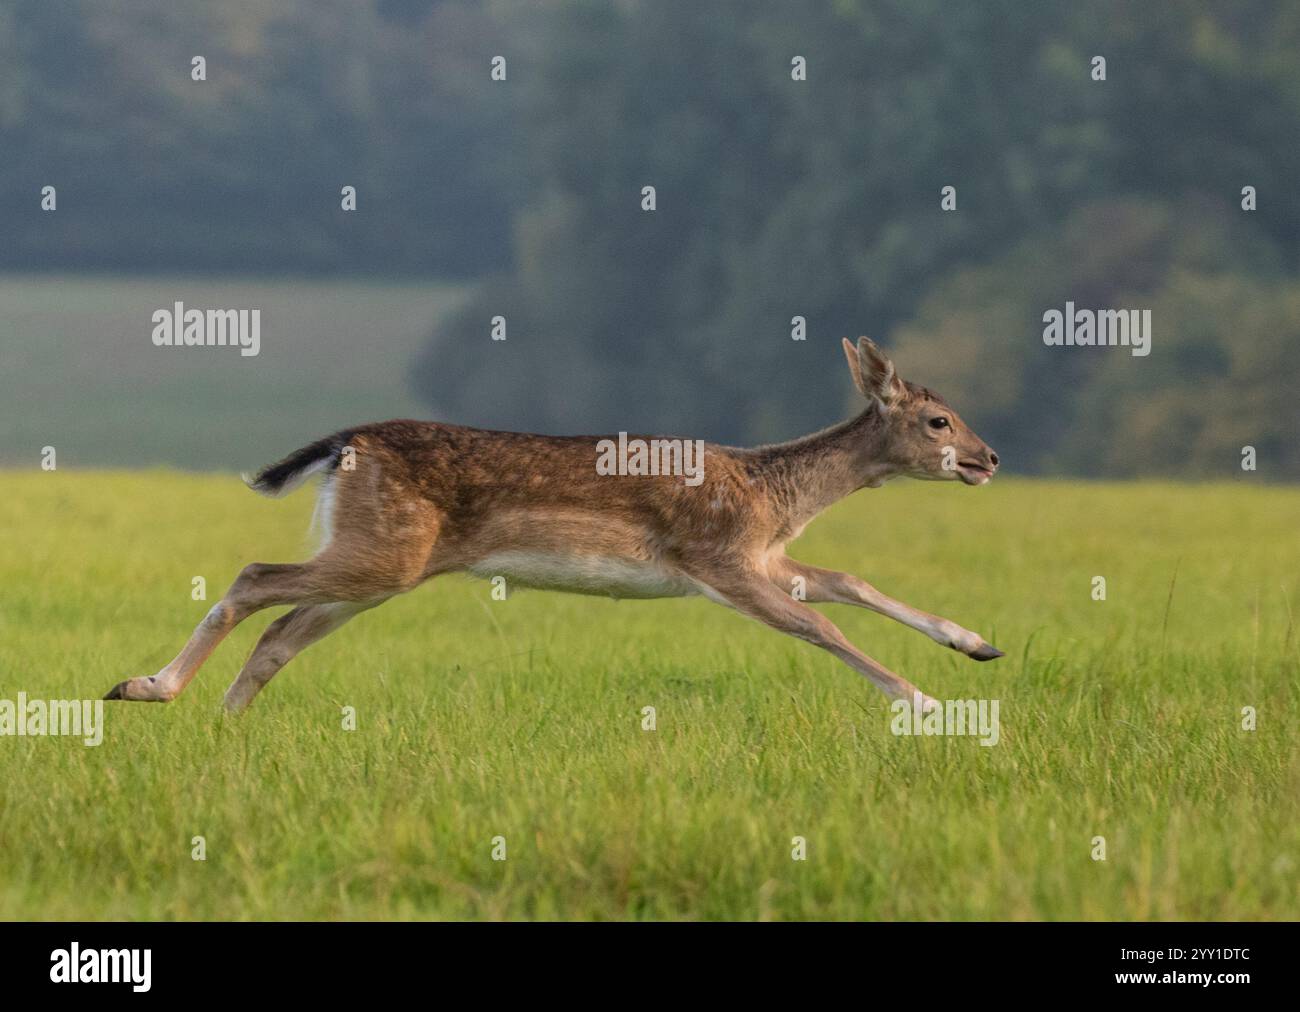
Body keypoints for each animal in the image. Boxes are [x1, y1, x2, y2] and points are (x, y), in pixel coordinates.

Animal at [105, 337, 1002, 714]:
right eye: (937, 420)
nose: (988, 457)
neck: (773, 493)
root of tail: (347, 444)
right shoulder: (717, 559)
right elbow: (821, 627)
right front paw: (925, 704)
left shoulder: (762, 558)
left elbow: (849, 580)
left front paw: (978, 645)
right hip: (384, 552)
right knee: (255, 578)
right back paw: (144, 688)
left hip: (381, 561)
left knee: (280, 629)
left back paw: (222, 725)